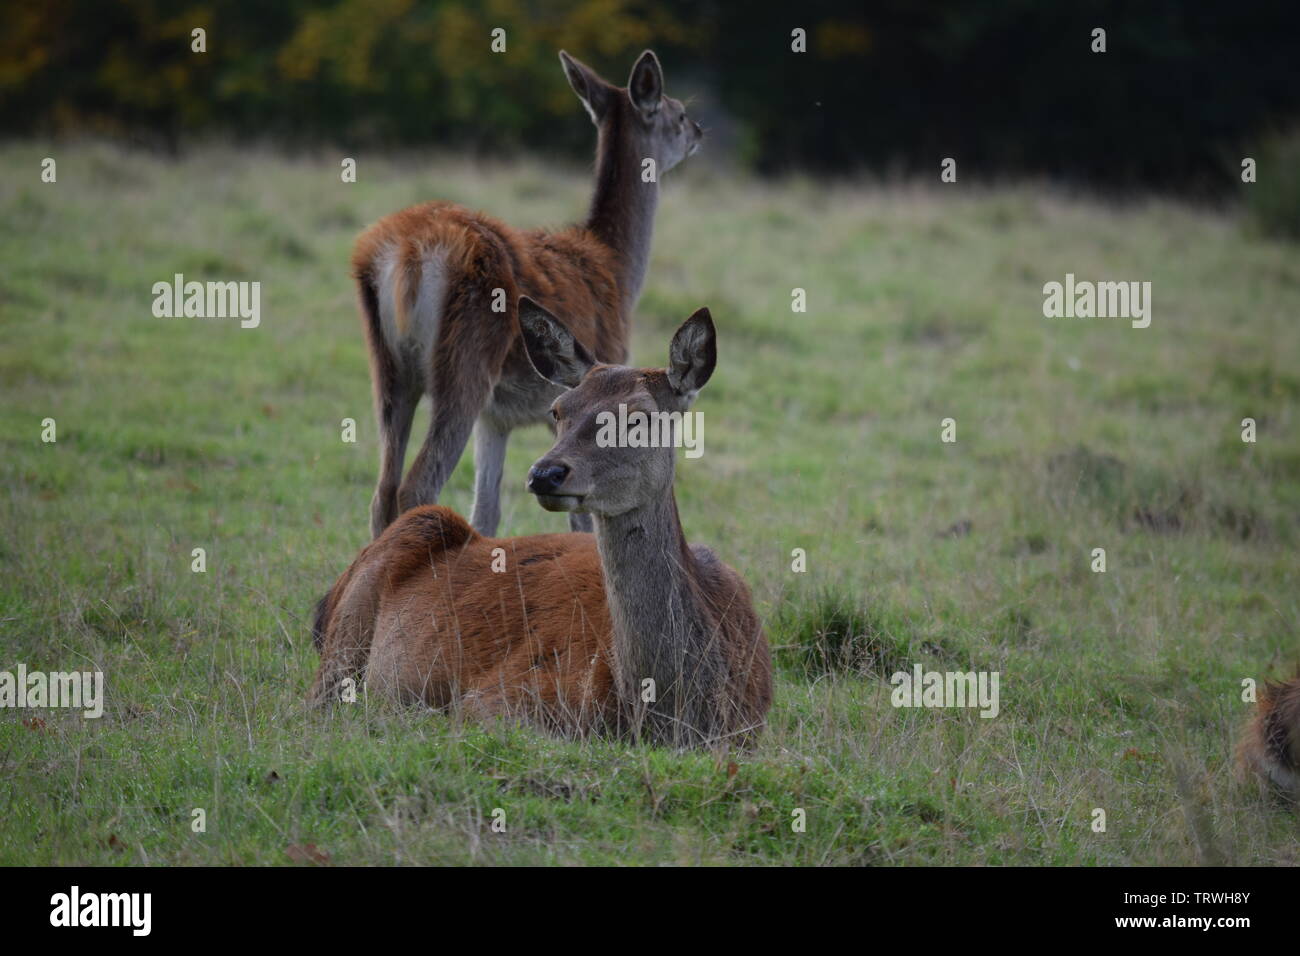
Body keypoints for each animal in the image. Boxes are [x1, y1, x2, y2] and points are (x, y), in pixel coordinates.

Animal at [309, 299, 772, 748]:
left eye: (639, 417)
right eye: (558, 410)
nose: (545, 473)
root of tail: (326, 598)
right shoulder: (493, 696)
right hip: (350, 632)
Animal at [352, 49, 703, 540]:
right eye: (678, 113)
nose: (699, 132)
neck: (619, 271)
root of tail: (405, 254)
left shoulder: (497, 417)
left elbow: (486, 512)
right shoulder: (594, 372)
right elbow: (580, 517)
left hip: (387, 365)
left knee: (381, 490)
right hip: (464, 364)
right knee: (416, 484)